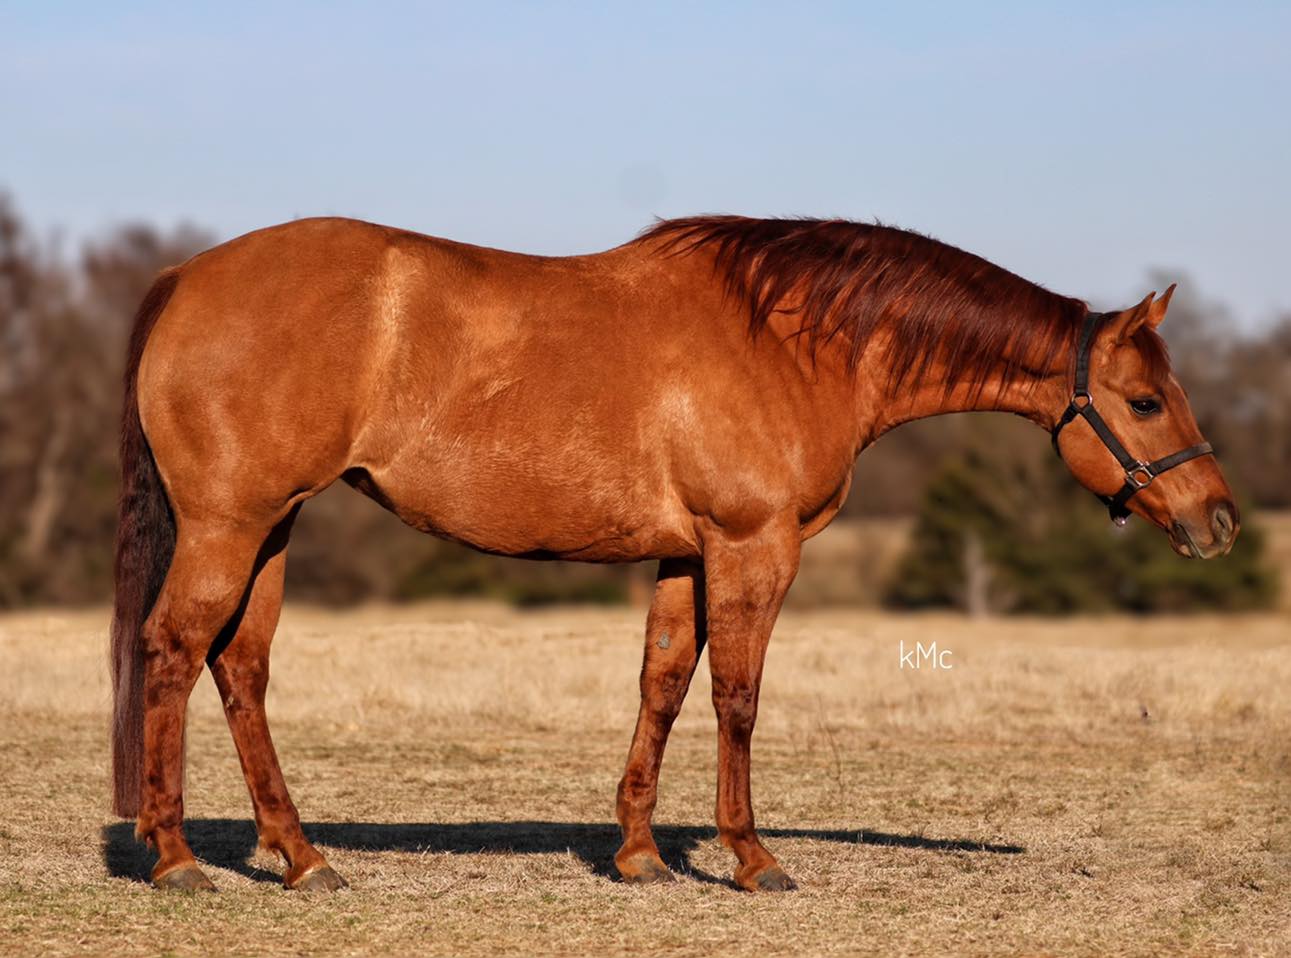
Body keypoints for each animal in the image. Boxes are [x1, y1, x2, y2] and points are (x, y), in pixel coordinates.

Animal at [109, 215, 1238, 893]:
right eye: (1145, 400)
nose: (1218, 519)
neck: (792, 340)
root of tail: (183, 276)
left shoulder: (686, 558)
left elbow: (661, 685)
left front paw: (641, 852)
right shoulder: (751, 547)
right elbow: (736, 694)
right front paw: (750, 855)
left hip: (271, 529)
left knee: (239, 668)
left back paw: (300, 856)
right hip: (229, 526)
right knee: (171, 652)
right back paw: (176, 858)